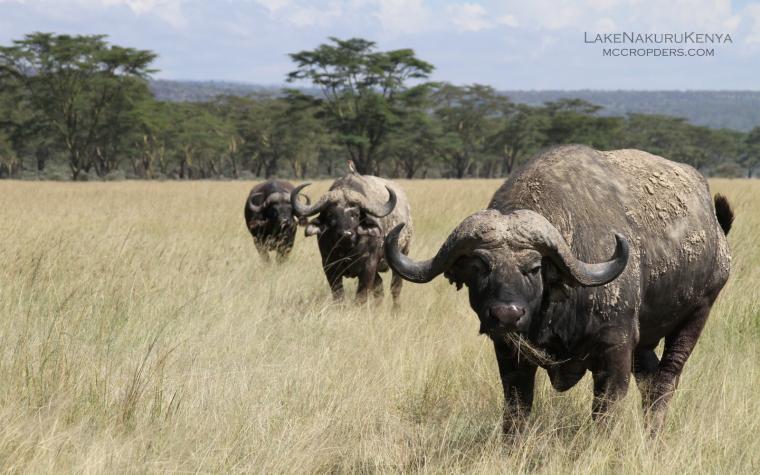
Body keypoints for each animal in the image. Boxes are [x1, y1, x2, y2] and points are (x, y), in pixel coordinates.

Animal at [291, 169, 413, 305]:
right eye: (331, 214)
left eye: (356, 214)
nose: (346, 234)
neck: (347, 251)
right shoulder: (330, 267)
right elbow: (338, 296)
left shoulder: (368, 267)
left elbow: (361, 297)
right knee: (379, 288)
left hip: (402, 255)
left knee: (395, 287)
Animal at [385, 145, 732, 434]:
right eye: (479, 267)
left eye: (534, 268)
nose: (506, 315)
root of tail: (715, 227)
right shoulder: (509, 352)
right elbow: (517, 409)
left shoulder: (616, 346)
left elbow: (605, 412)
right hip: (644, 338)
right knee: (649, 378)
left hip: (699, 311)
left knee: (666, 378)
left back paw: (654, 433)